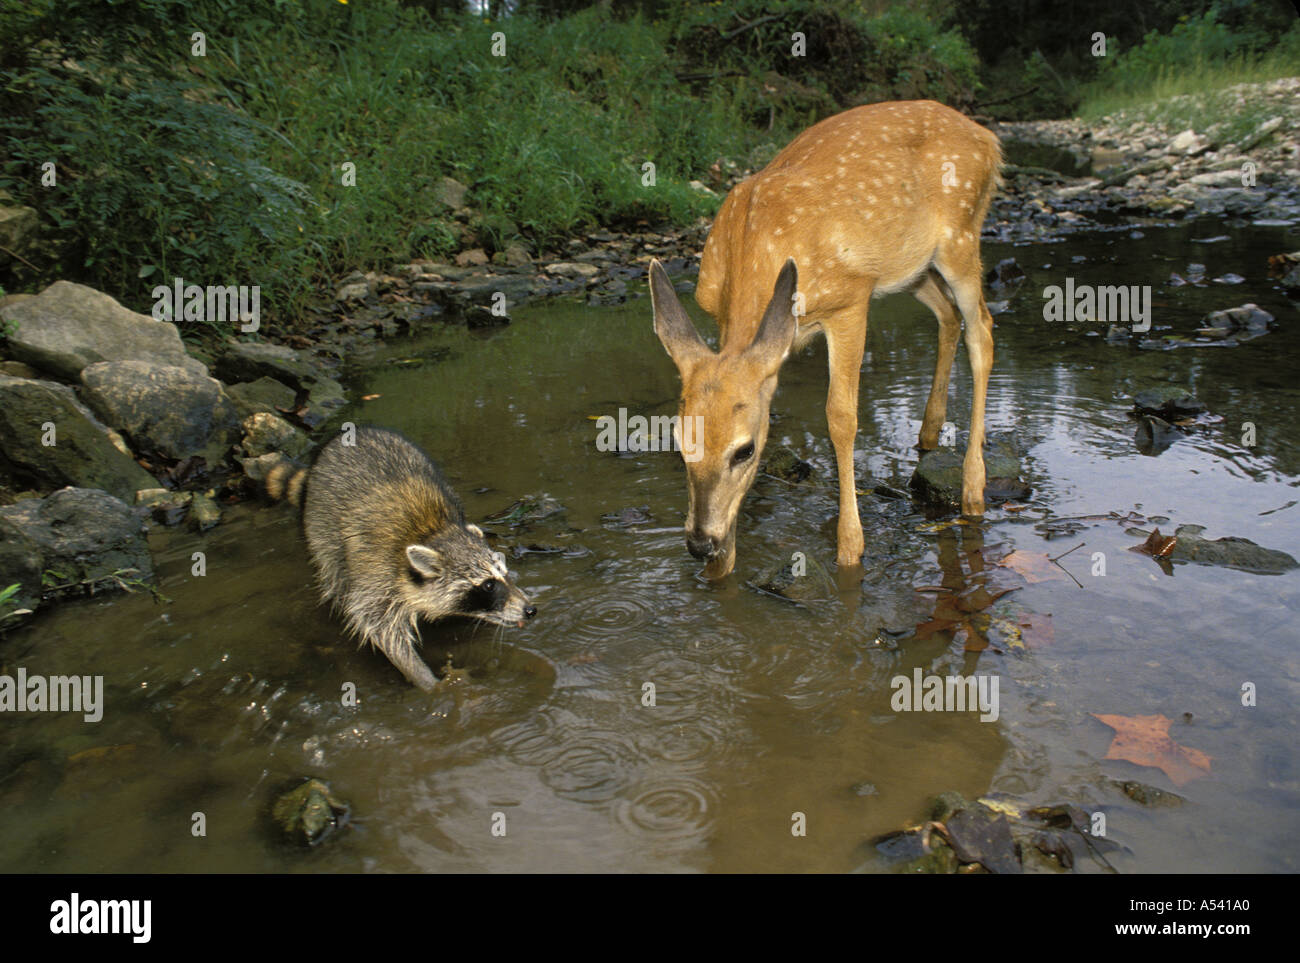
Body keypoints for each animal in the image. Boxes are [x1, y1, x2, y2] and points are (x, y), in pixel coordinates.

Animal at [266, 426, 535, 691]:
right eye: (488, 585)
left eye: (504, 574)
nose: (530, 609)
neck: (433, 532)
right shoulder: (375, 573)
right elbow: (379, 626)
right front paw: (425, 679)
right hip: (321, 530)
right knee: (334, 571)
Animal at [650, 100, 1003, 579]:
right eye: (680, 445)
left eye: (745, 451)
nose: (701, 544)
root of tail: (988, 138)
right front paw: (726, 566)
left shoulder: (850, 299)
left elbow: (840, 417)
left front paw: (850, 546)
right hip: (911, 266)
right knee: (948, 315)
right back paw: (930, 432)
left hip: (961, 238)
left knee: (981, 330)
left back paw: (972, 487)